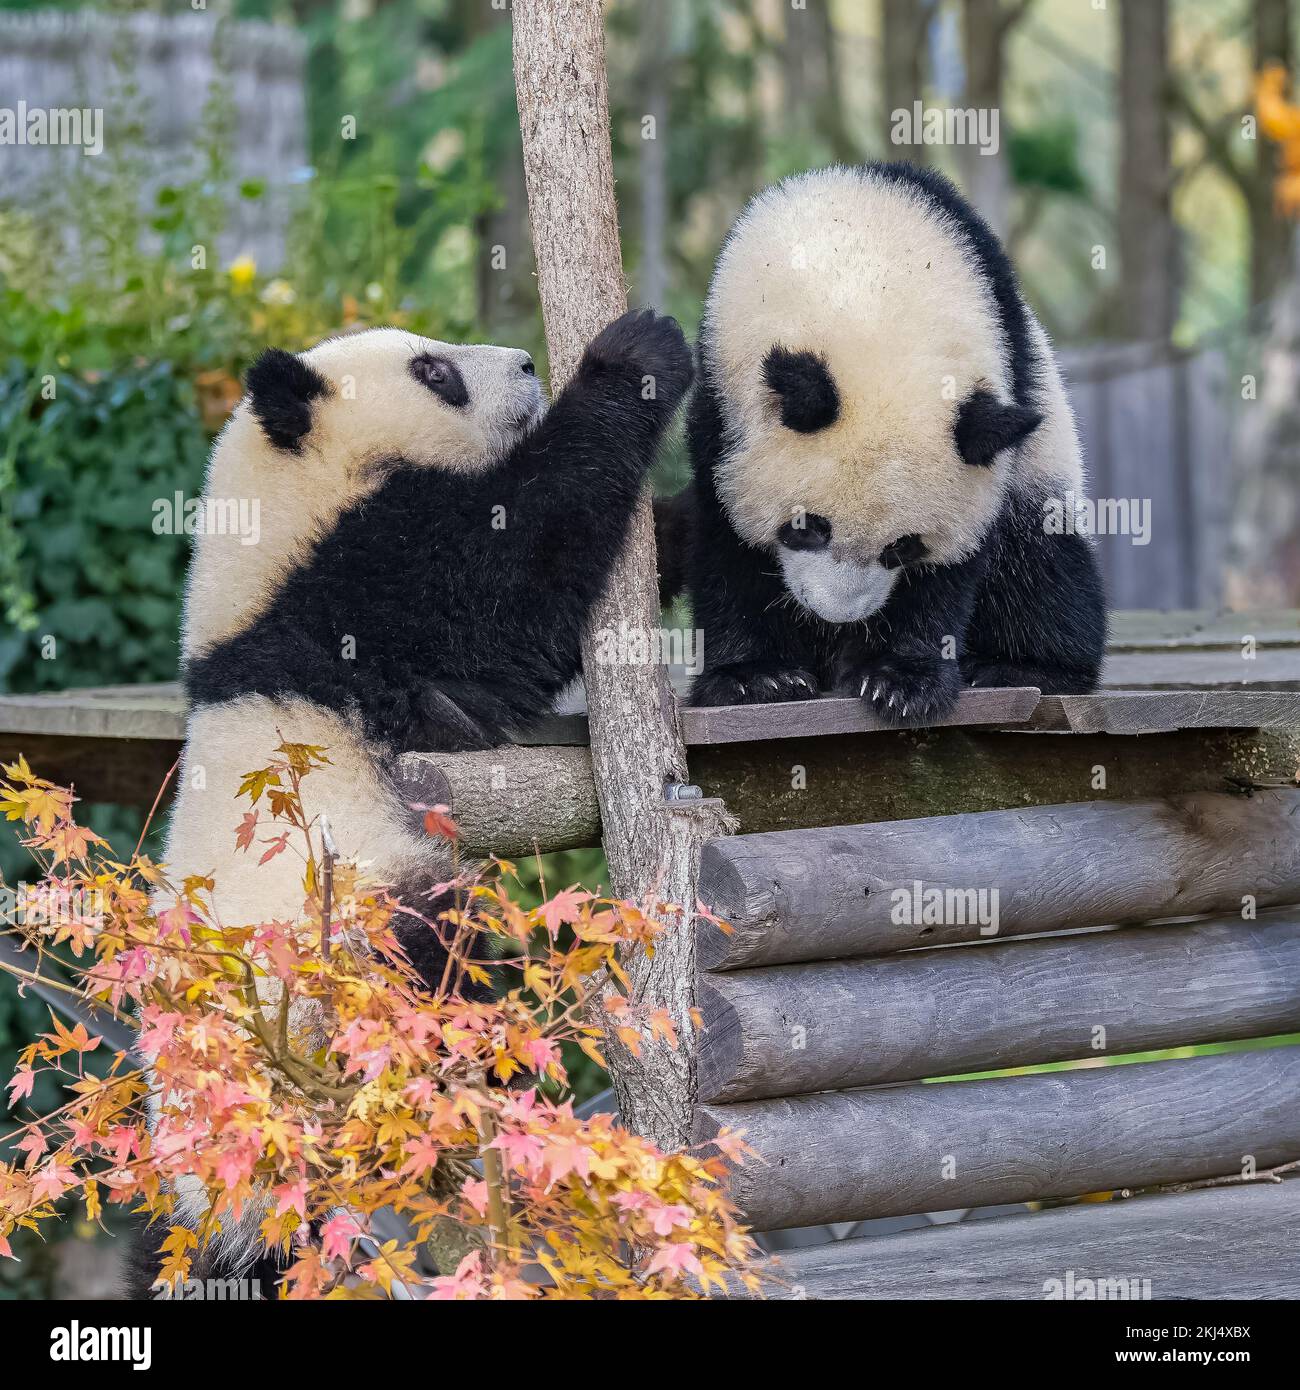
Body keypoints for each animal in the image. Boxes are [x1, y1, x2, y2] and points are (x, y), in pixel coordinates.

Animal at [128, 308, 693, 1298]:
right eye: (434, 371)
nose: (524, 364)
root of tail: (234, 1198)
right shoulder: (351, 600)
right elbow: (511, 577)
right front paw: (636, 356)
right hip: (338, 946)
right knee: (430, 947)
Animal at [683, 163, 1107, 720]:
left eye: (903, 547)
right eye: (805, 527)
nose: (837, 615)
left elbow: (951, 569)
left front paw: (899, 680)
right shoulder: (721, 397)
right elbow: (727, 540)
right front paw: (757, 677)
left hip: (1044, 461)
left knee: (1042, 565)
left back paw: (1024, 666)